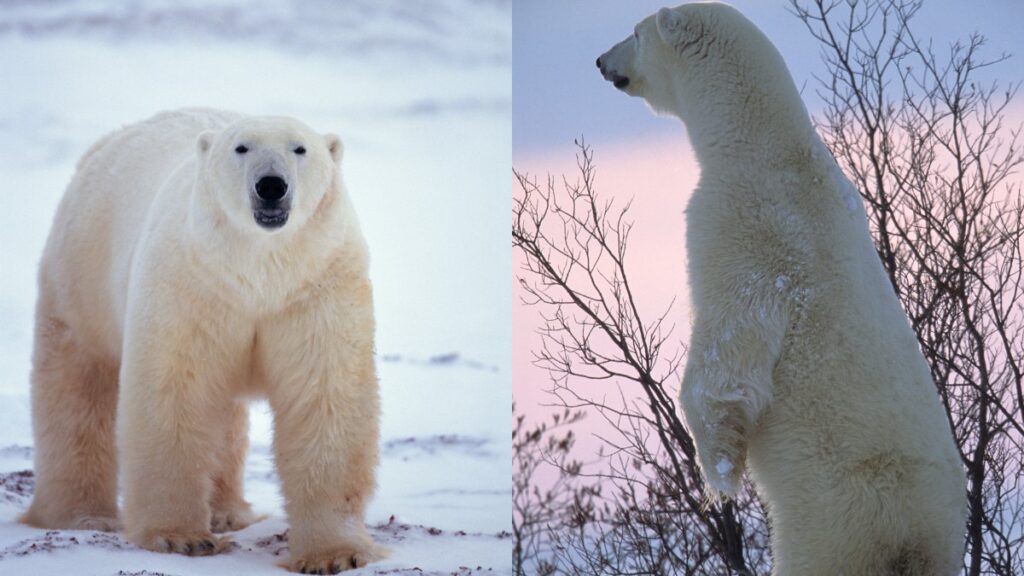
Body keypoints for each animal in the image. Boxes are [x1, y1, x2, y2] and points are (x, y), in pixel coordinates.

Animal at [21, 108, 386, 574]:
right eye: (241, 147)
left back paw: (227, 511)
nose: (271, 185)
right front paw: (181, 538)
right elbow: (176, 393)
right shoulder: (191, 284)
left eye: (300, 148)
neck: (258, 268)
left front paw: (335, 554)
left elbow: (324, 398)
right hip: (83, 274)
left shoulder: (314, 286)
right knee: (77, 390)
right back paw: (80, 515)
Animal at [598, 3, 966, 575]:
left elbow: (728, 349)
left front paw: (718, 470)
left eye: (634, 33)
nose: (600, 61)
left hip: (834, 519)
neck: (768, 145)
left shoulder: (741, 226)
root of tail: (913, 543)